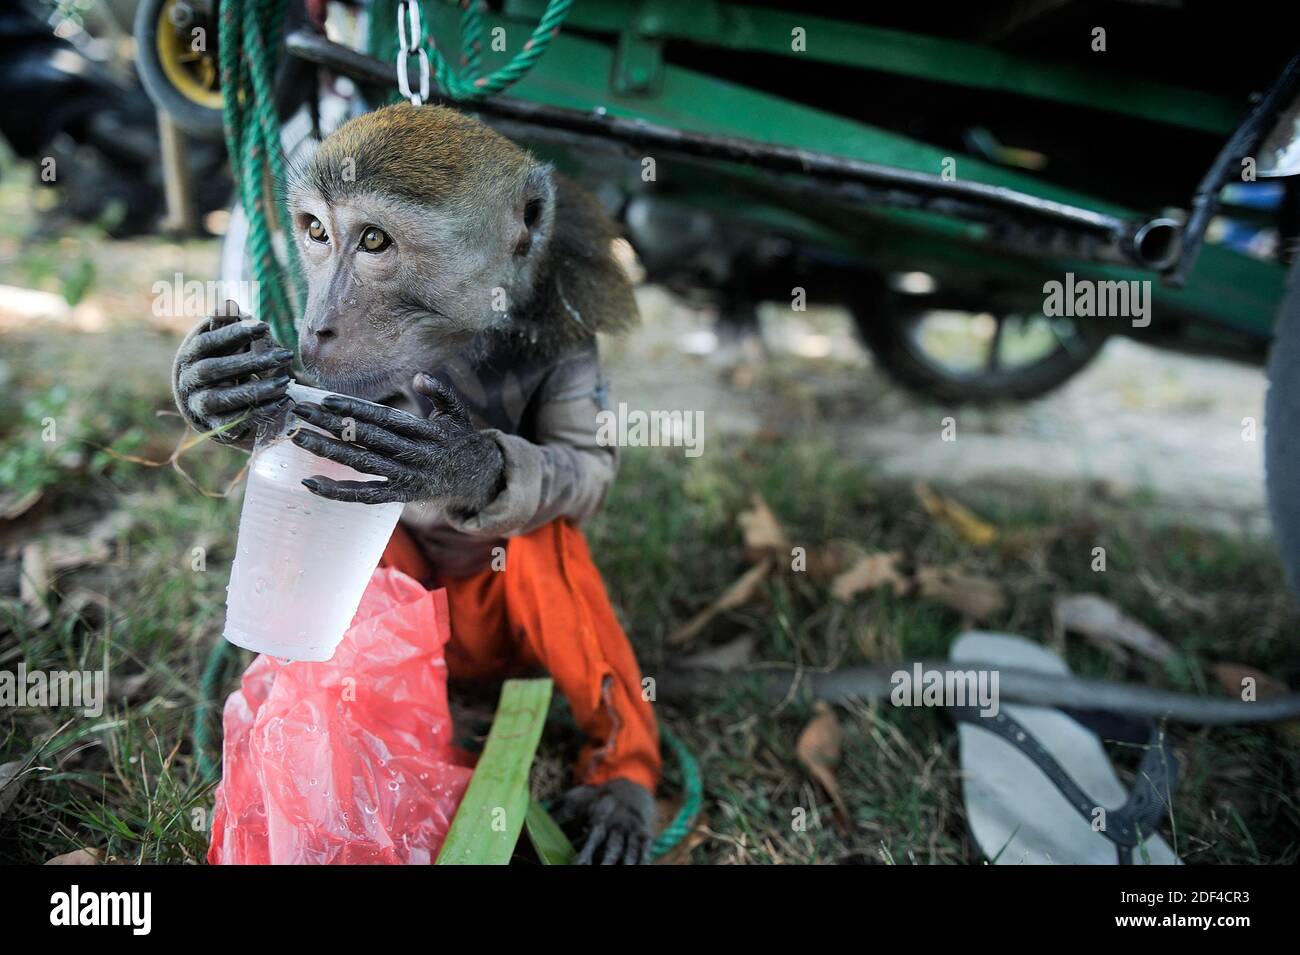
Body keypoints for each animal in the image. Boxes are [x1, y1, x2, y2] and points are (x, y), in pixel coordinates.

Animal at [173, 102, 661, 864]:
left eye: (374, 240)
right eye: (316, 232)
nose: (316, 325)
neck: (461, 349)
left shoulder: (573, 344)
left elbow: (589, 471)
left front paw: (459, 461)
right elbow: (286, 414)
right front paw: (210, 388)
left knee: (543, 536)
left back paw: (620, 784)